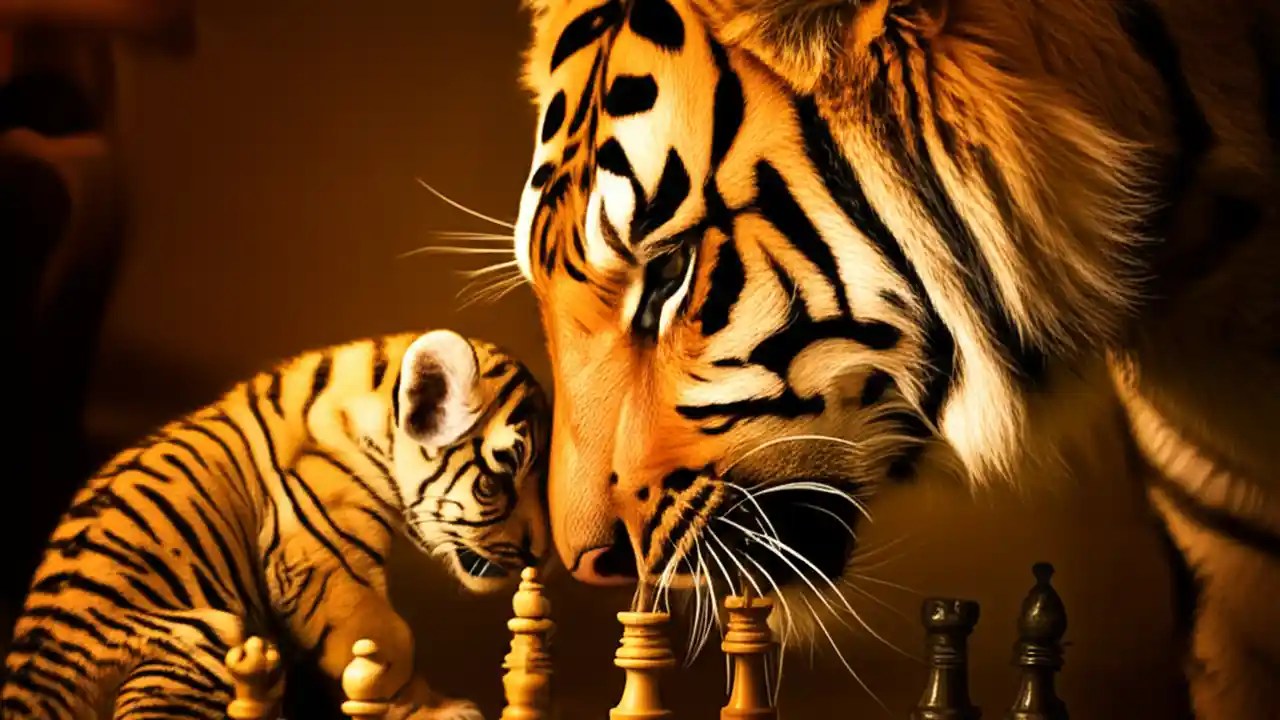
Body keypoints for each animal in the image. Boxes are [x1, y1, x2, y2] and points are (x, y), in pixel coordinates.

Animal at [1, 329, 550, 719]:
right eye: (496, 480)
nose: (539, 555)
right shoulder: (325, 568)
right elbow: (389, 648)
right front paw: (440, 709)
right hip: (205, 636)